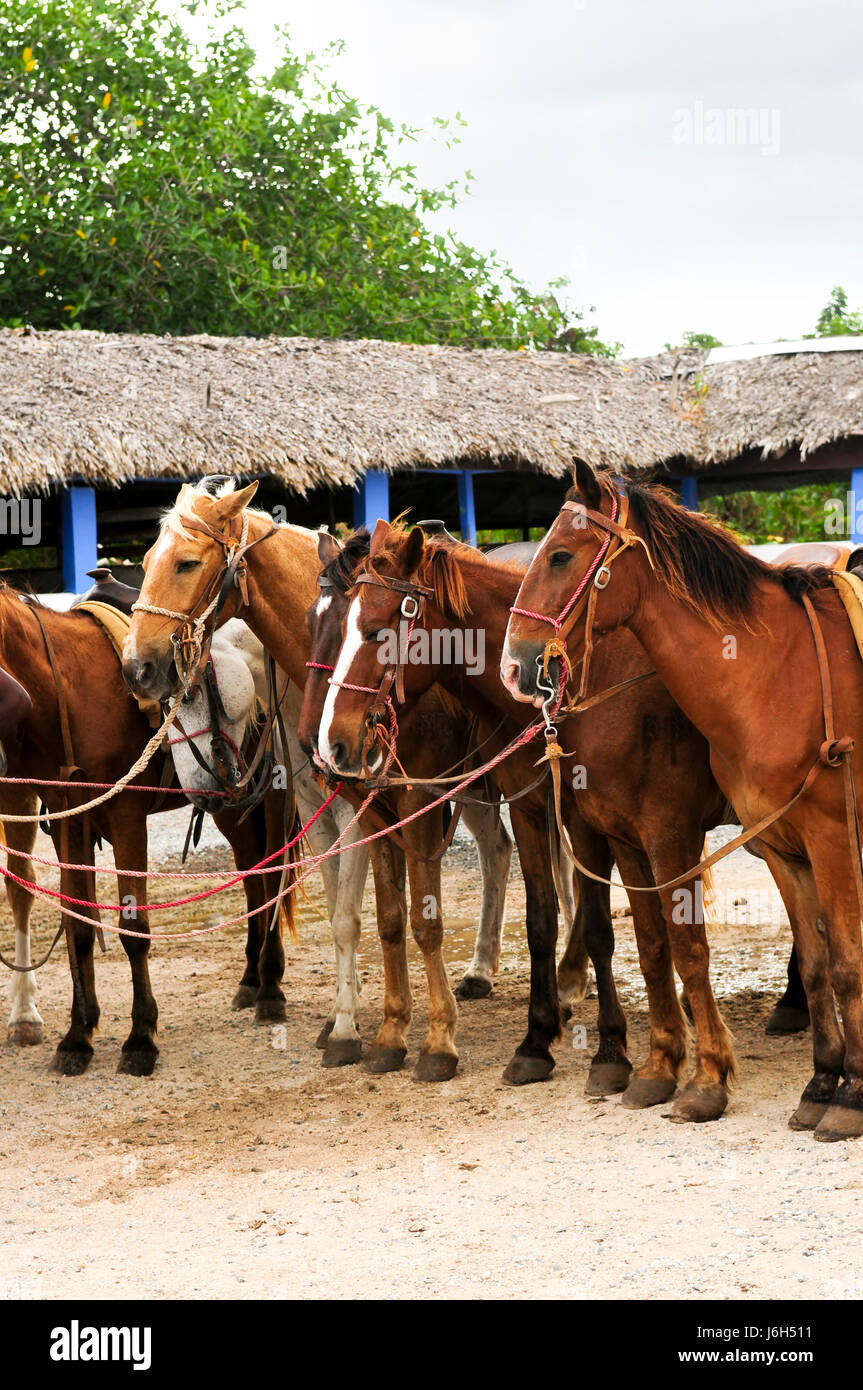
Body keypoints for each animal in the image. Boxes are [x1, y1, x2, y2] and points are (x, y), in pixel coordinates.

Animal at [121, 480, 517, 1080]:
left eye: (186, 562)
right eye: (144, 563)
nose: (136, 667)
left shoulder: (401, 809)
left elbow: (392, 920)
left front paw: (417, 1040)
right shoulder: (336, 810)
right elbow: (366, 918)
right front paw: (355, 1026)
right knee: (498, 849)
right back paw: (481, 970)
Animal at [503, 460, 863, 1141]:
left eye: (561, 555)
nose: (514, 666)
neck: (775, 673)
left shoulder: (810, 837)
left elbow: (827, 959)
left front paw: (840, 1096)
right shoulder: (764, 845)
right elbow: (669, 949)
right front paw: (817, 1083)